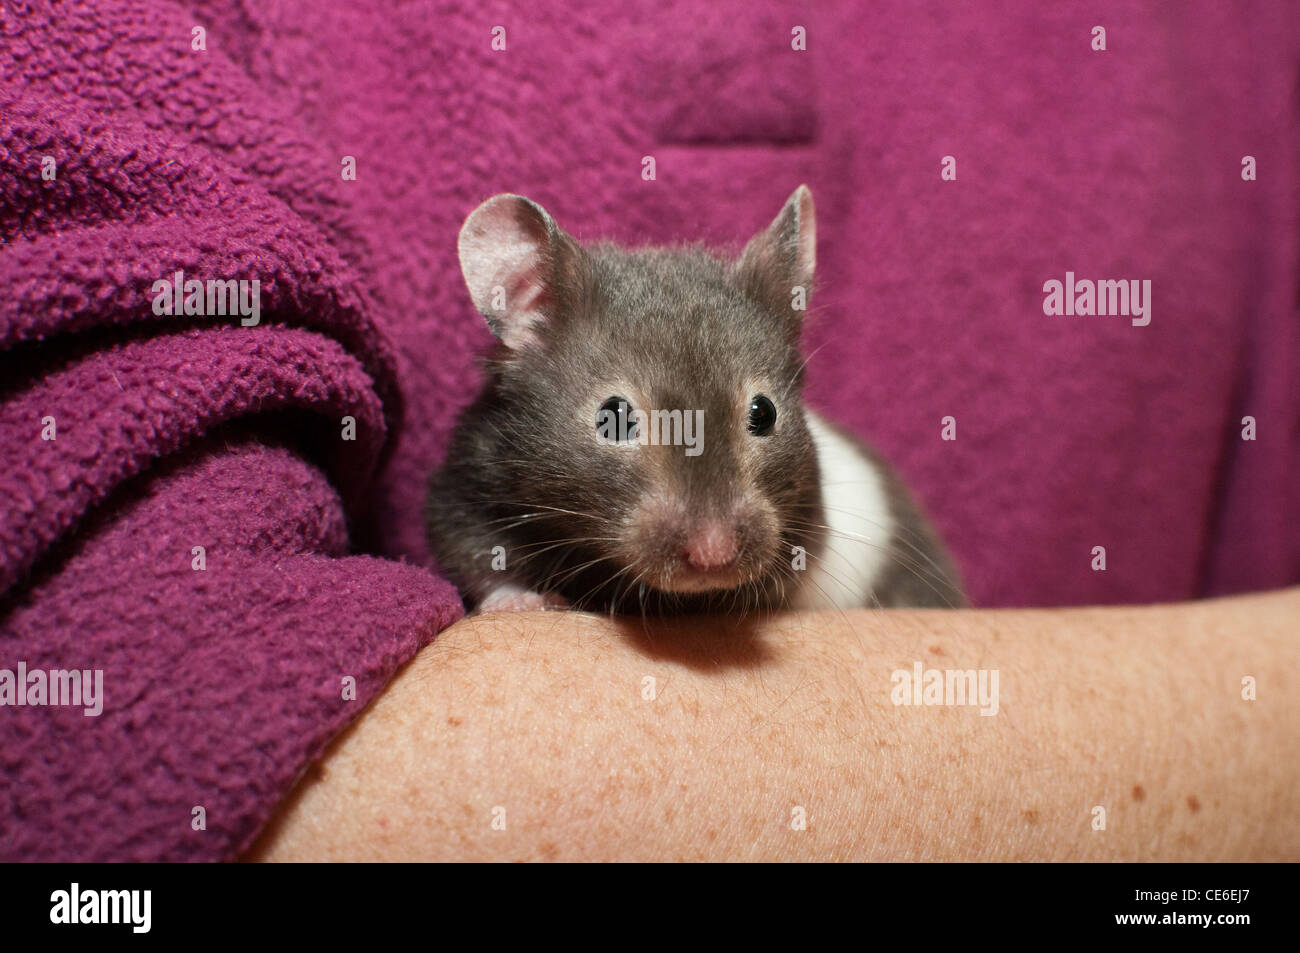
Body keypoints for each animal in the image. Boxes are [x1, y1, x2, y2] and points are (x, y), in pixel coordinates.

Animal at [425, 186, 965, 614]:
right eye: (613, 417)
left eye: (764, 413)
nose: (714, 557)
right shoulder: (469, 482)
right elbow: (478, 557)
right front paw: (525, 604)